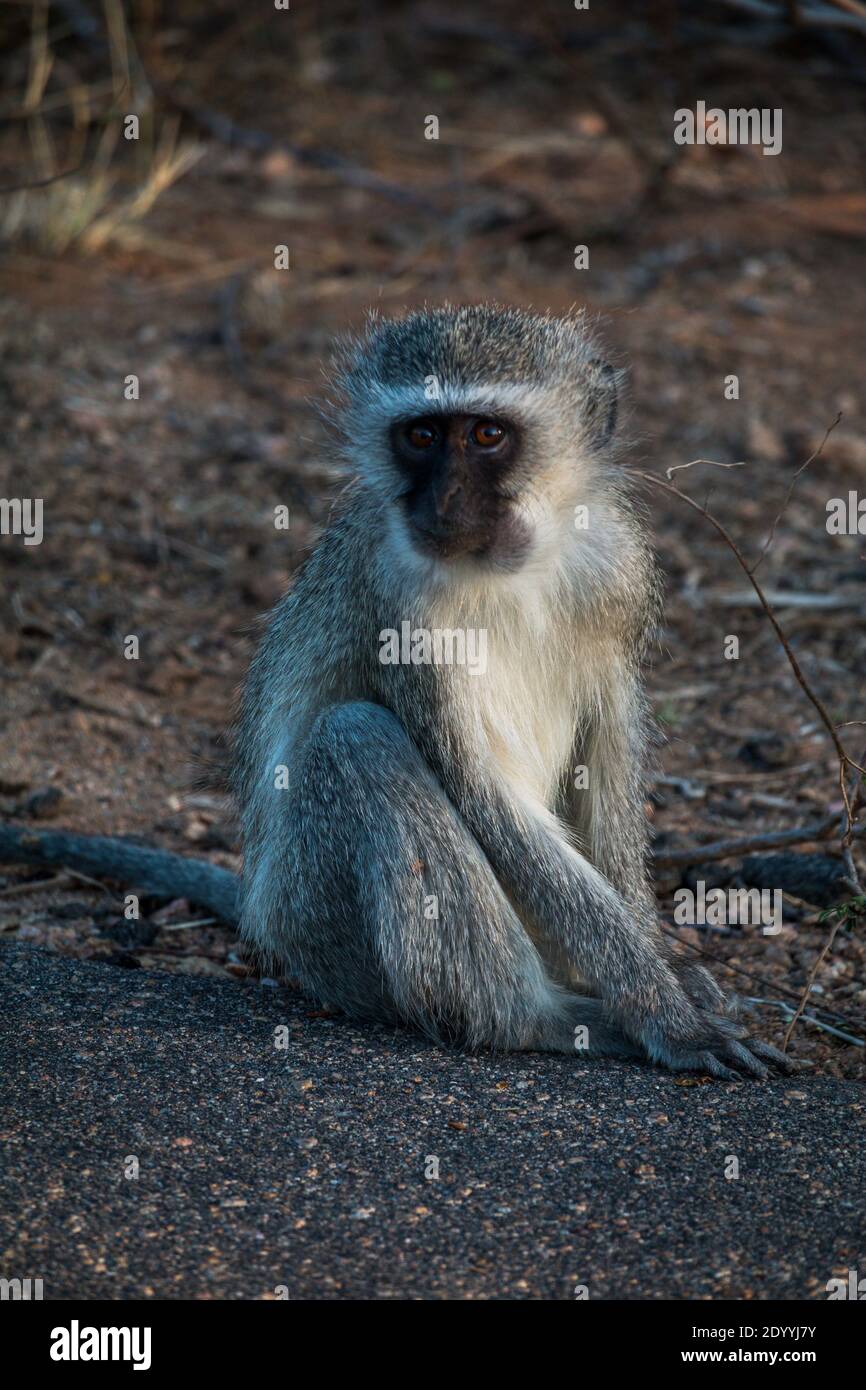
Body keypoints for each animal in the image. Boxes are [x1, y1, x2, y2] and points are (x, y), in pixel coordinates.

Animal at [0, 304, 789, 1077]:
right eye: (420, 436)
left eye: (487, 434)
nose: (442, 501)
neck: (514, 562)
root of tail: (262, 913)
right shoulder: (396, 599)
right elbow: (481, 793)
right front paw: (665, 1016)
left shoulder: (619, 572)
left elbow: (606, 764)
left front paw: (669, 981)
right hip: (322, 927)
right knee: (358, 737)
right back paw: (537, 1020)